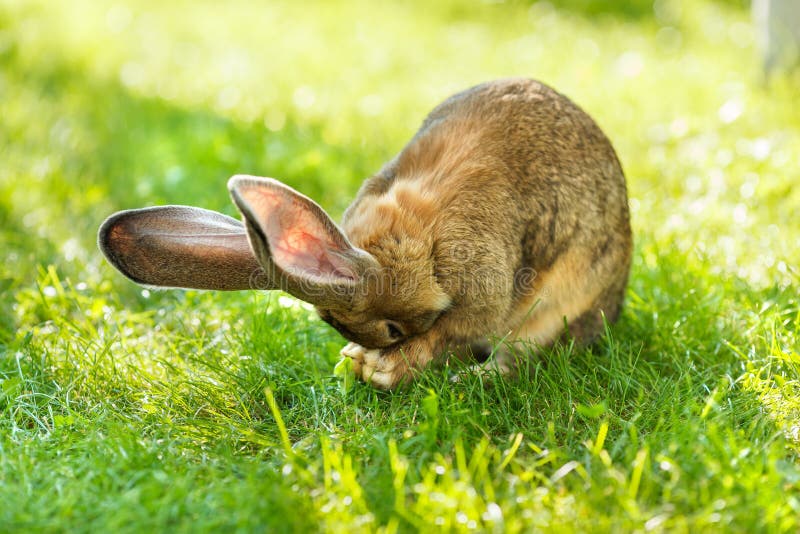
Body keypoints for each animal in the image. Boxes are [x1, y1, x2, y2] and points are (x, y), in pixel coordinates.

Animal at [98, 78, 632, 389]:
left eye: (391, 330)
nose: (389, 343)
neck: (419, 243)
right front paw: (358, 361)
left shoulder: (484, 288)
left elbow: (453, 330)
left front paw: (381, 368)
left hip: (557, 312)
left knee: (517, 356)